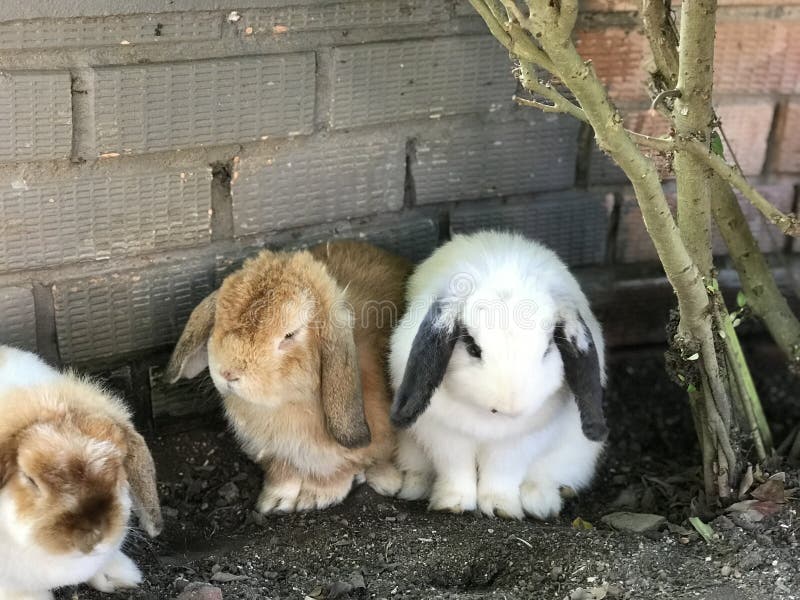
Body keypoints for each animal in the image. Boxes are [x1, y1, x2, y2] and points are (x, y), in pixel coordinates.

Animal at [166, 240, 412, 514]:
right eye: (219, 317)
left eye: (290, 334)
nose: (228, 372)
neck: (286, 404)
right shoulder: (273, 452)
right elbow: (282, 474)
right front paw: (274, 502)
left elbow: (341, 469)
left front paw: (314, 497)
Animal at [388, 230, 608, 520]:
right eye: (472, 347)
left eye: (548, 347)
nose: (510, 408)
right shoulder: (445, 436)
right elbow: (456, 470)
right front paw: (453, 503)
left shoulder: (519, 443)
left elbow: (502, 475)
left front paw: (501, 508)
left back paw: (540, 502)